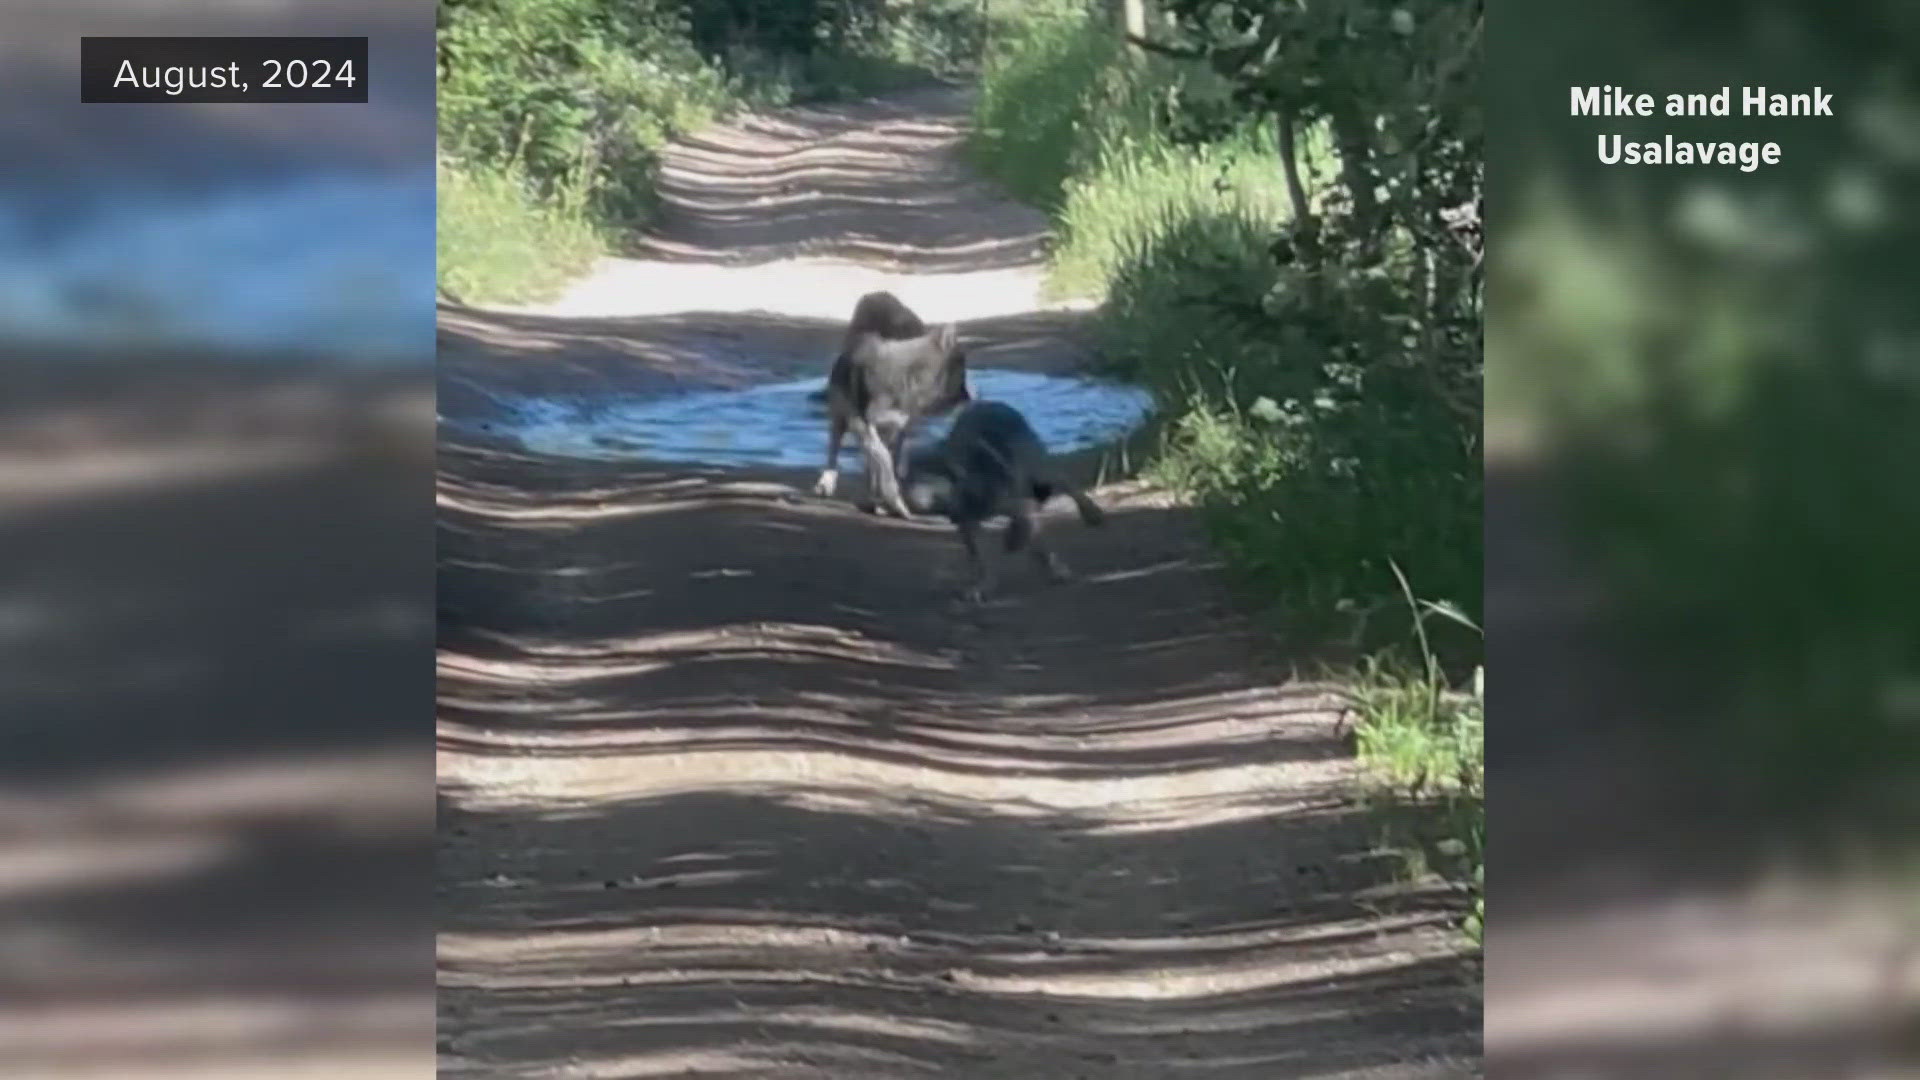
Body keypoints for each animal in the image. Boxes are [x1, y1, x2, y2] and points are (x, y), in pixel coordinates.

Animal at [813, 293, 971, 518]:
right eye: (962, 373)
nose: (970, 397)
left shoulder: (896, 429)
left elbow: (887, 461)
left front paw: (886, 501)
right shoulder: (864, 424)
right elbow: (883, 460)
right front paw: (894, 502)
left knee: (873, 462)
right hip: (840, 418)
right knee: (836, 450)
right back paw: (829, 484)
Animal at [901, 400, 1105, 601]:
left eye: (930, 477)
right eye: (907, 479)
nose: (910, 496)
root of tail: (991, 402)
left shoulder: (1019, 504)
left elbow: (1024, 524)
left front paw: (1012, 541)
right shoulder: (968, 525)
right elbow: (980, 558)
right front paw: (982, 586)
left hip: (1040, 469)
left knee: (1066, 483)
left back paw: (1090, 515)